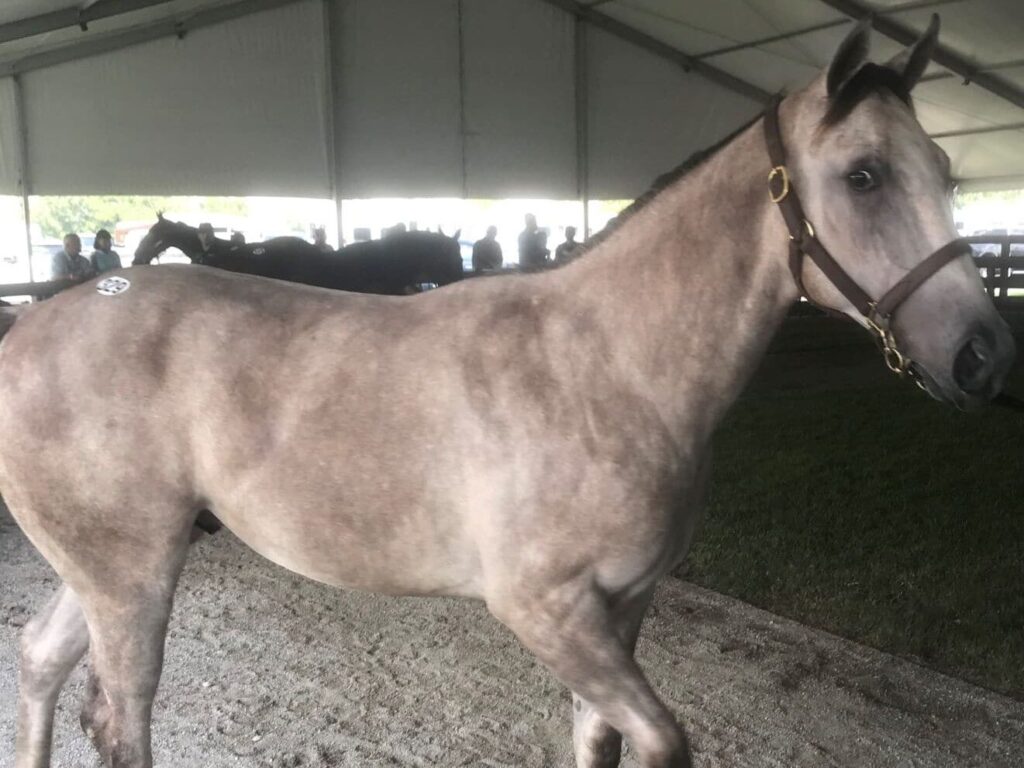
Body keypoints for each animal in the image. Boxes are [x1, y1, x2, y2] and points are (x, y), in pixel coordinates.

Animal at [4, 18, 1014, 768]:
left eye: (945, 171)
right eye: (864, 175)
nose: (985, 356)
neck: (607, 367)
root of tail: (27, 330)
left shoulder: (622, 610)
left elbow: (599, 743)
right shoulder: (546, 610)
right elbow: (662, 742)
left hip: (112, 567)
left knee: (40, 660)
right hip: (130, 578)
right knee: (122, 718)